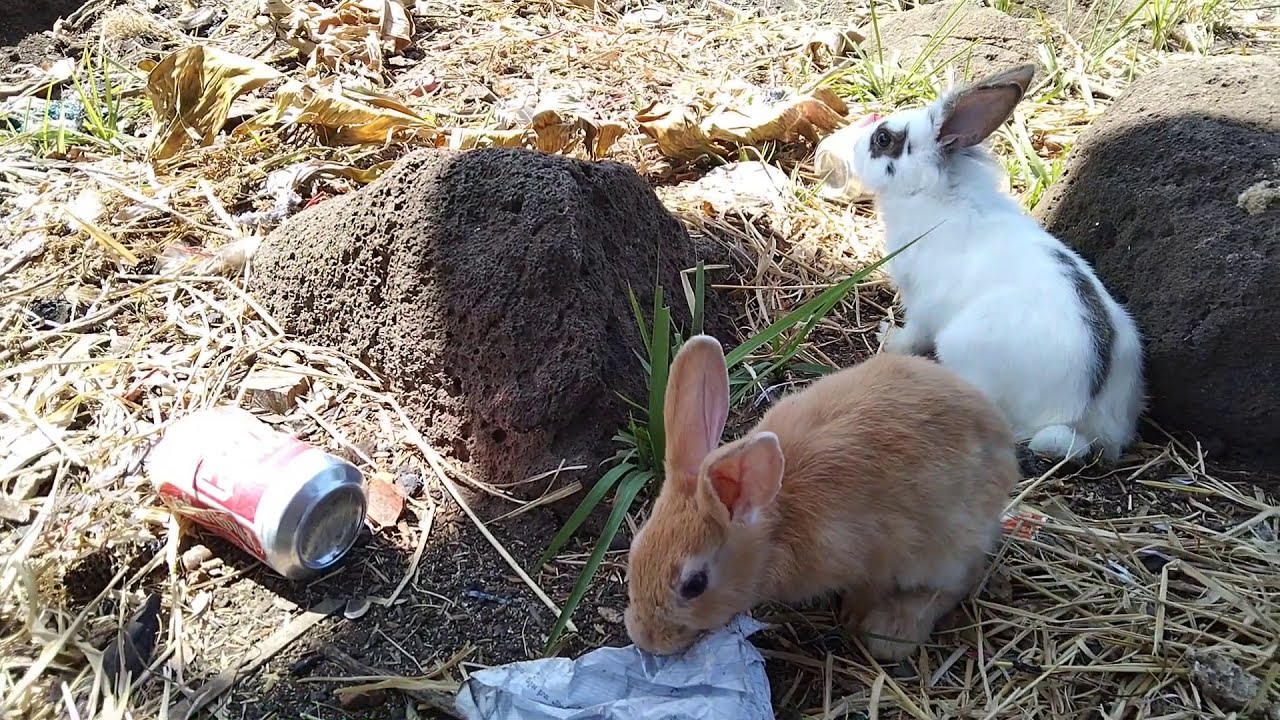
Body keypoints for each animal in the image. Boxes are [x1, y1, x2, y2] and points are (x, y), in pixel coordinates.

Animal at [623, 334, 1020, 662]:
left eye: (694, 585)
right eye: (635, 549)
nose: (646, 639)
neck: (776, 527)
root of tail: (1004, 445)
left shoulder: (875, 554)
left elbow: (871, 587)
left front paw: (853, 616)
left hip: (946, 547)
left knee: (960, 581)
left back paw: (893, 629)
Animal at [813, 64, 1146, 463]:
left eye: (883, 139)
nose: (856, 142)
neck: (935, 192)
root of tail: (1081, 411)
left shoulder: (921, 302)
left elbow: (913, 334)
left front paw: (888, 337)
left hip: (963, 347)